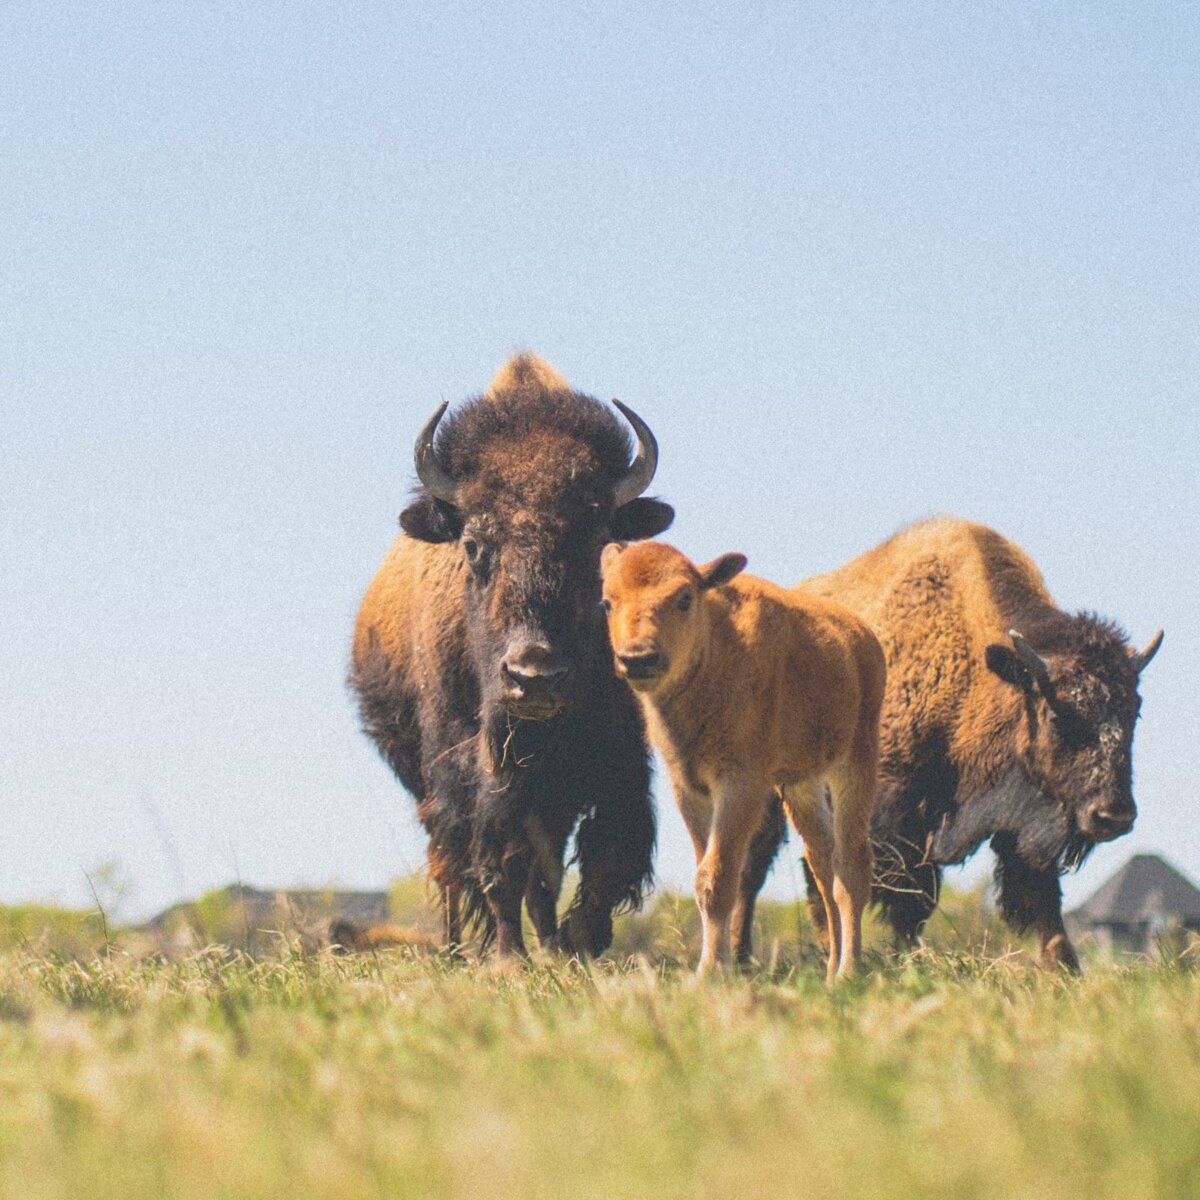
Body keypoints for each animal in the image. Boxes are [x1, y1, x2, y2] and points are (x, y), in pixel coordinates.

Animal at [351, 355, 674, 956]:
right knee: (451, 866)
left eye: (596, 543)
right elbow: (501, 860)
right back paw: (458, 951)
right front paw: (508, 958)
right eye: (474, 545)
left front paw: (577, 943)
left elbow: (607, 855)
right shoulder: (479, 765)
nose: (534, 676)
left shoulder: (618, 758)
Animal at [734, 517, 1162, 970]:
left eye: (1133, 711)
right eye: (1055, 712)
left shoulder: (1017, 820)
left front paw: (1065, 969)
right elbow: (898, 895)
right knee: (753, 869)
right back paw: (744, 959)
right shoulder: (893, 818)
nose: (1113, 815)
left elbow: (1039, 898)